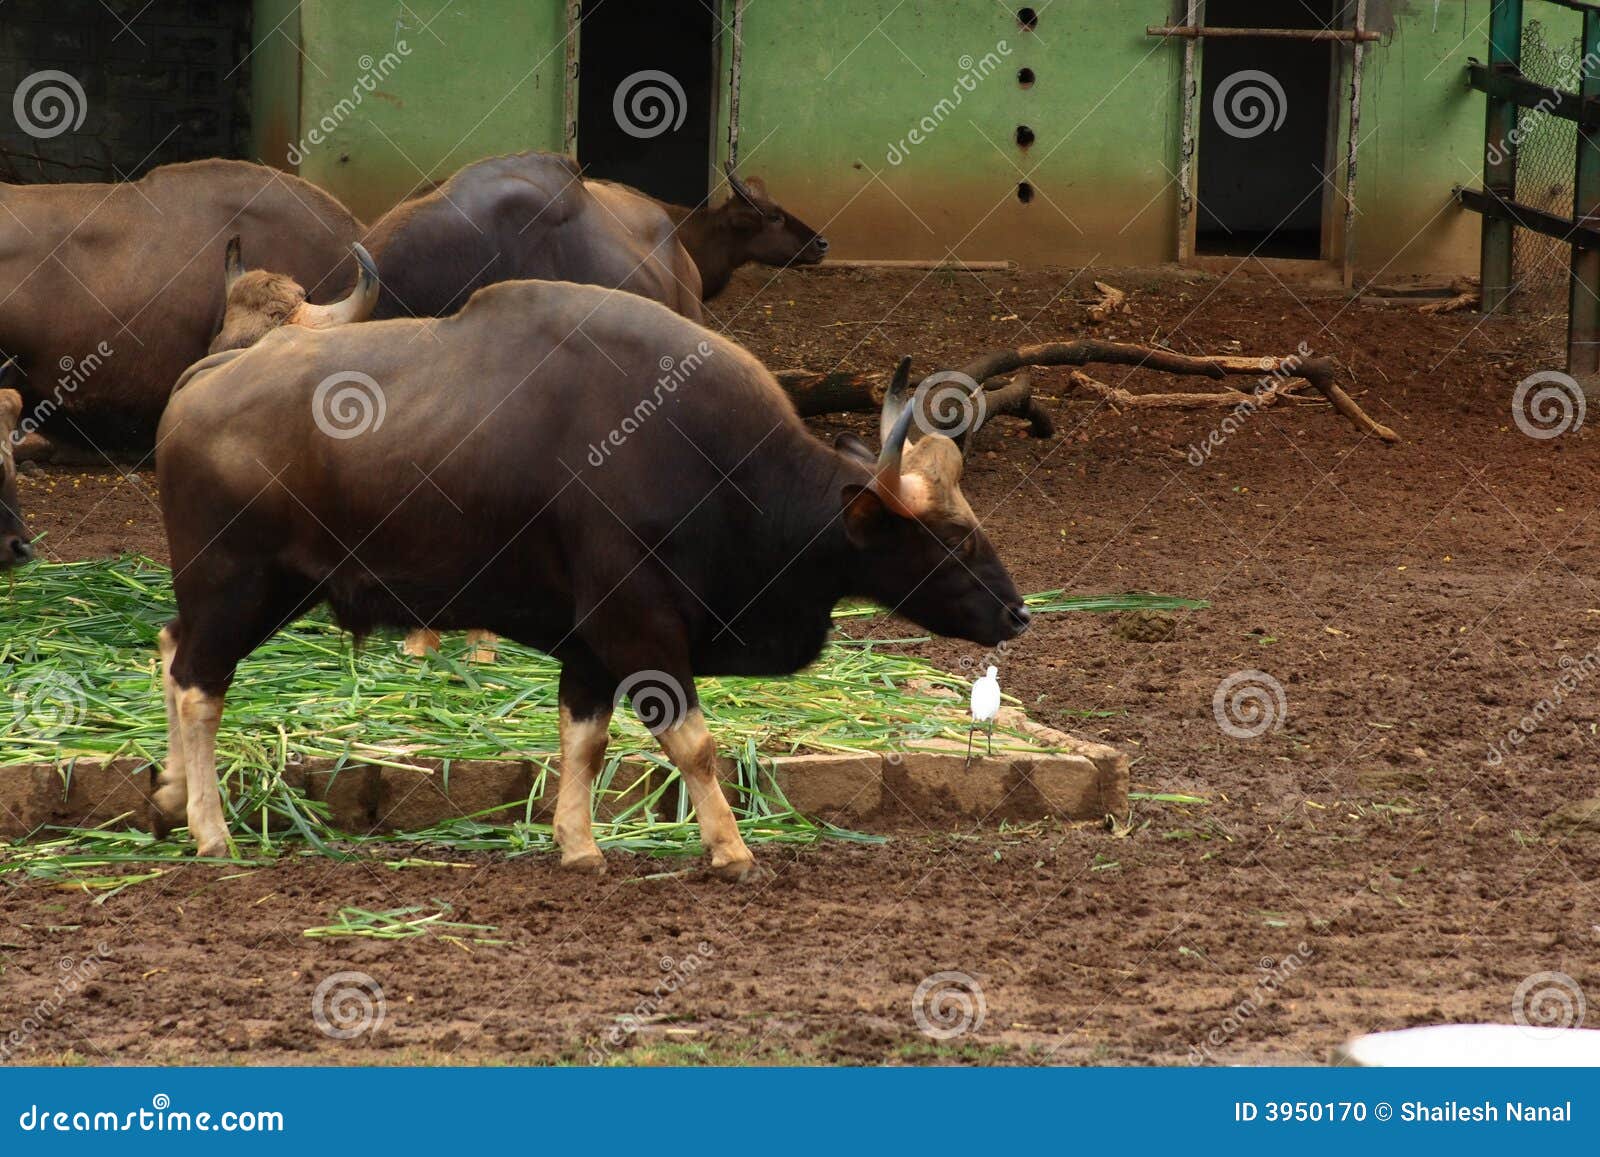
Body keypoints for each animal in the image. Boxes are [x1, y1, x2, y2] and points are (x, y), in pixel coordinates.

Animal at [153, 280, 1027, 876]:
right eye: (952, 536)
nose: (1018, 613)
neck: (717, 466)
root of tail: (198, 382)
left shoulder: (590, 646)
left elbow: (585, 738)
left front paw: (577, 843)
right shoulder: (639, 626)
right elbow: (695, 742)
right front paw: (731, 848)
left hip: (245, 593)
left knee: (169, 648)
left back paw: (167, 796)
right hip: (238, 585)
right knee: (199, 684)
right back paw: (211, 829)